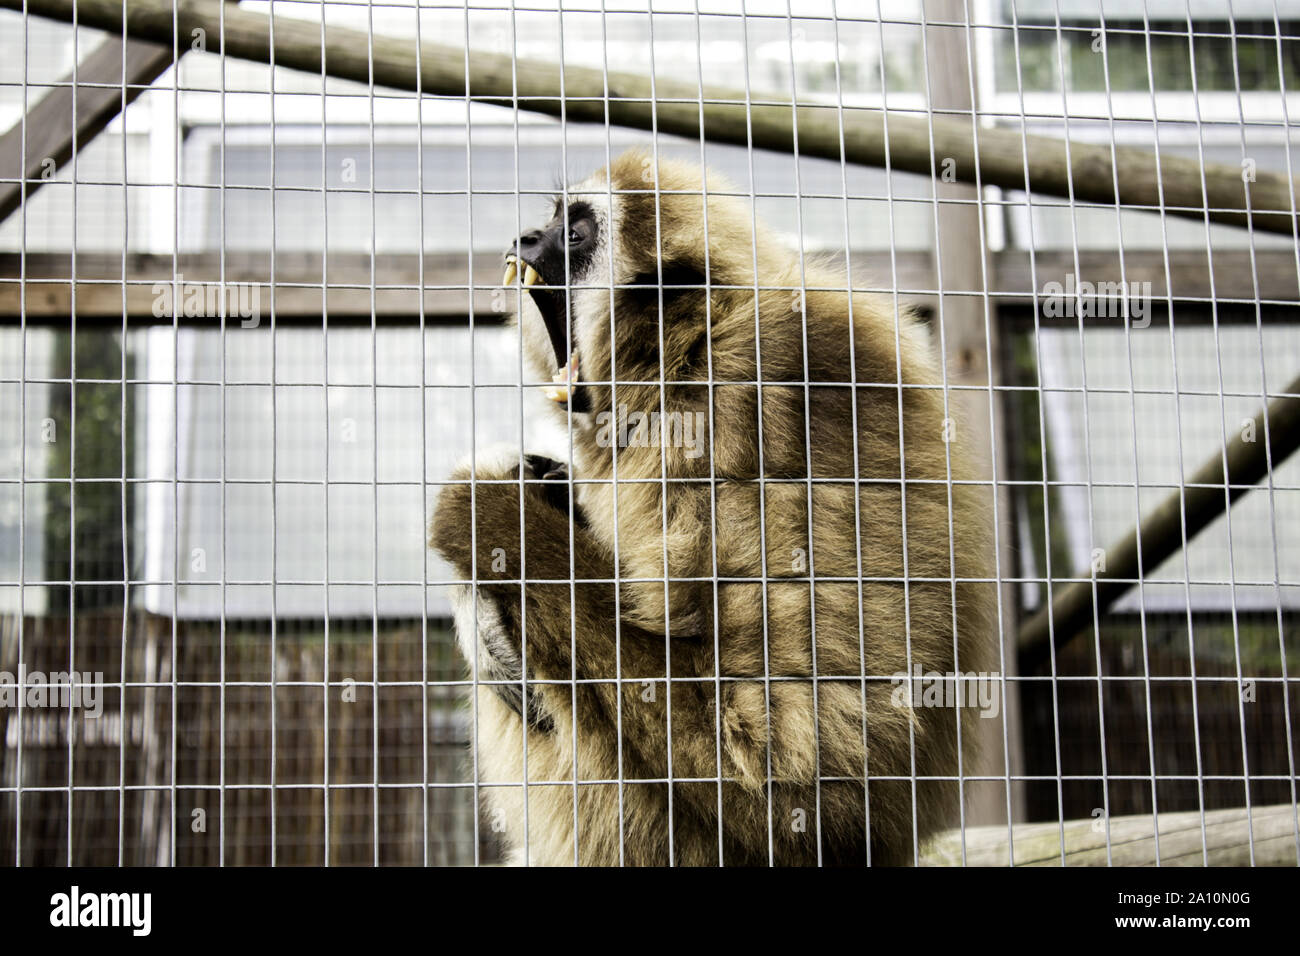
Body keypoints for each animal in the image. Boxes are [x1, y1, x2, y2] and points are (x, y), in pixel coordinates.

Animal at [429, 149, 997, 866]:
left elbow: (797, 769)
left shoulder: (763, 402)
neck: (687, 354)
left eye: (577, 233)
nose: (527, 238)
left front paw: (488, 511)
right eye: (554, 218)